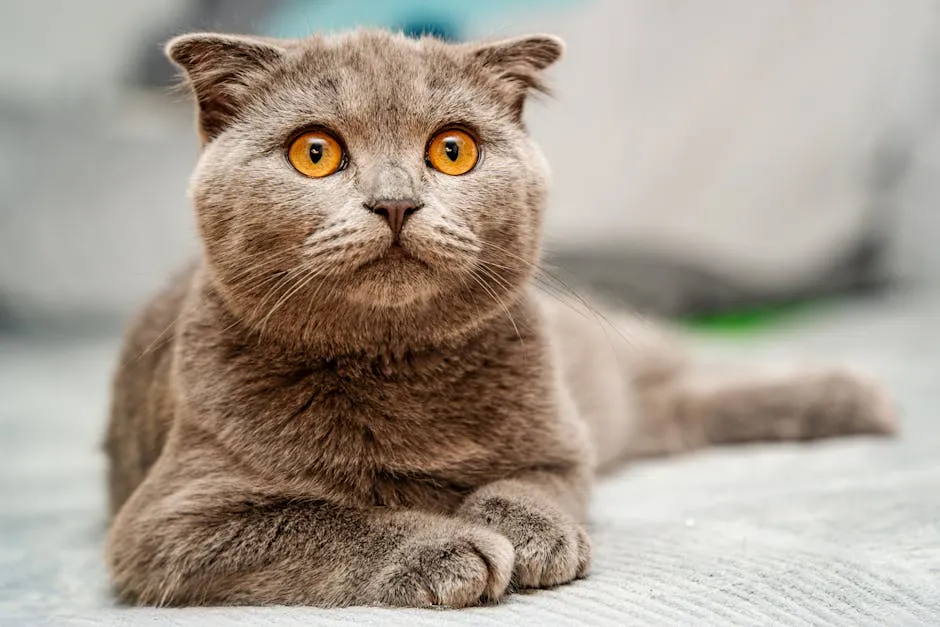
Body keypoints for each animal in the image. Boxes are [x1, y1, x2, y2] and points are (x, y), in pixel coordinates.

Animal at [104, 28, 896, 608]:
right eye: (315, 151)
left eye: (453, 150)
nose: (396, 201)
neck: (396, 370)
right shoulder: (169, 523)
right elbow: (314, 521)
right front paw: (441, 547)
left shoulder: (560, 440)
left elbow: (535, 479)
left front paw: (530, 533)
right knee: (681, 409)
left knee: (693, 370)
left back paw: (857, 393)